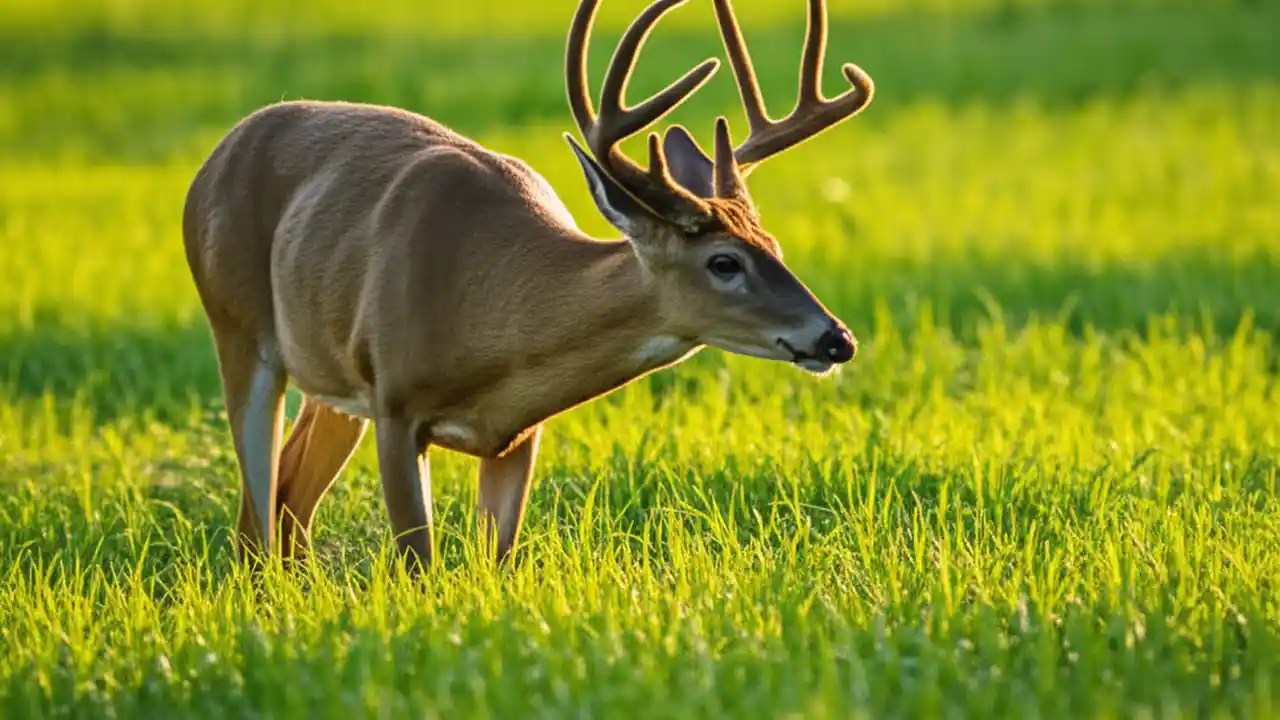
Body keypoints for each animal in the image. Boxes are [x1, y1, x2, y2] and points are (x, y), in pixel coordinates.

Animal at [182, 0, 874, 569]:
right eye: (725, 262)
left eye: (775, 247)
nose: (836, 339)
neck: (494, 321)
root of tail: (215, 157)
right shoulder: (397, 402)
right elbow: (418, 563)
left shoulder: (516, 432)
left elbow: (498, 563)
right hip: (236, 326)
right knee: (256, 511)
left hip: (333, 381)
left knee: (288, 497)